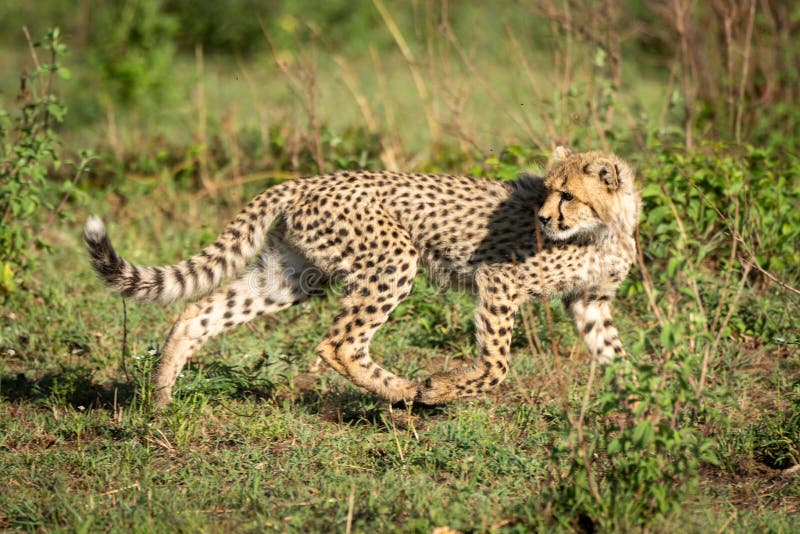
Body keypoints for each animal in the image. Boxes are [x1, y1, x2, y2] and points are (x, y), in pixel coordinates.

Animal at [84, 146, 641, 407]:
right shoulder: (501, 281)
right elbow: (498, 363)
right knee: (340, 344)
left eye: (566, 195)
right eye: (547, 191)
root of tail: (307, 179)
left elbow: (619, 358)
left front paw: (645, 408)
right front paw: (443, 387)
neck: (608, 226)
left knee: (198, 312)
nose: (544, 219)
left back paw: (160, 401)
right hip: (394, 258)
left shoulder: (590, 300)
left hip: (292, 273)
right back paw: (406, 391)